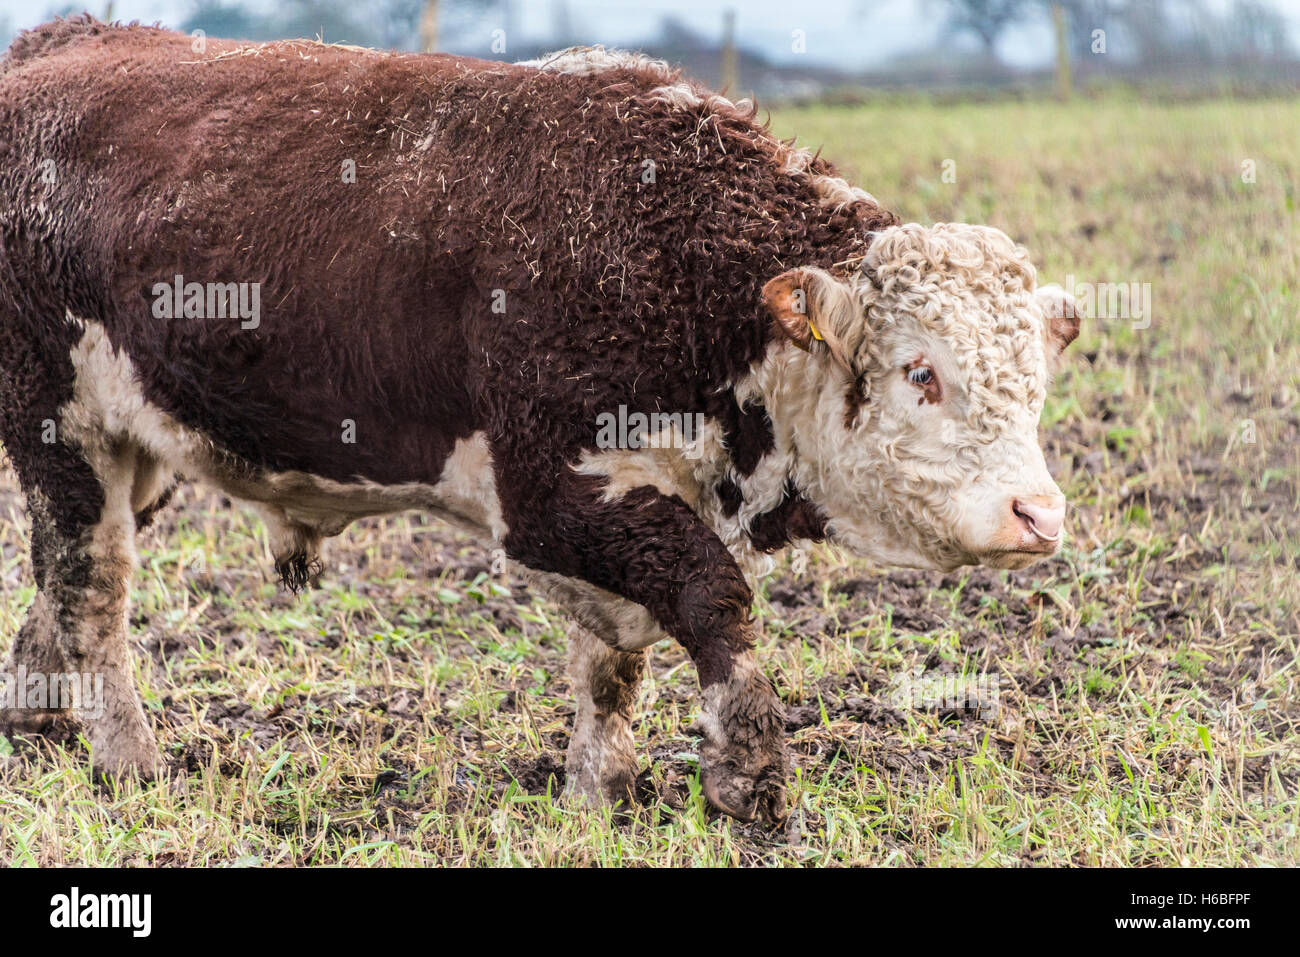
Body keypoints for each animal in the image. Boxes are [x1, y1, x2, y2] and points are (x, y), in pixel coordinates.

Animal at [0, 17, 1078, 823]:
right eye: (919, 372)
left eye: (1034, 382)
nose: (1038, 516)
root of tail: (59, 43)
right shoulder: (551, 498)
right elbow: (713, 600)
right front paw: (750, 775)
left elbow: (612, 663)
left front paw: (600, 787)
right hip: (58, 423)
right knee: (93, 582)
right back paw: (129, 760)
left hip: (140, 446)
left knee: (64, 575)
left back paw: (38, 715)